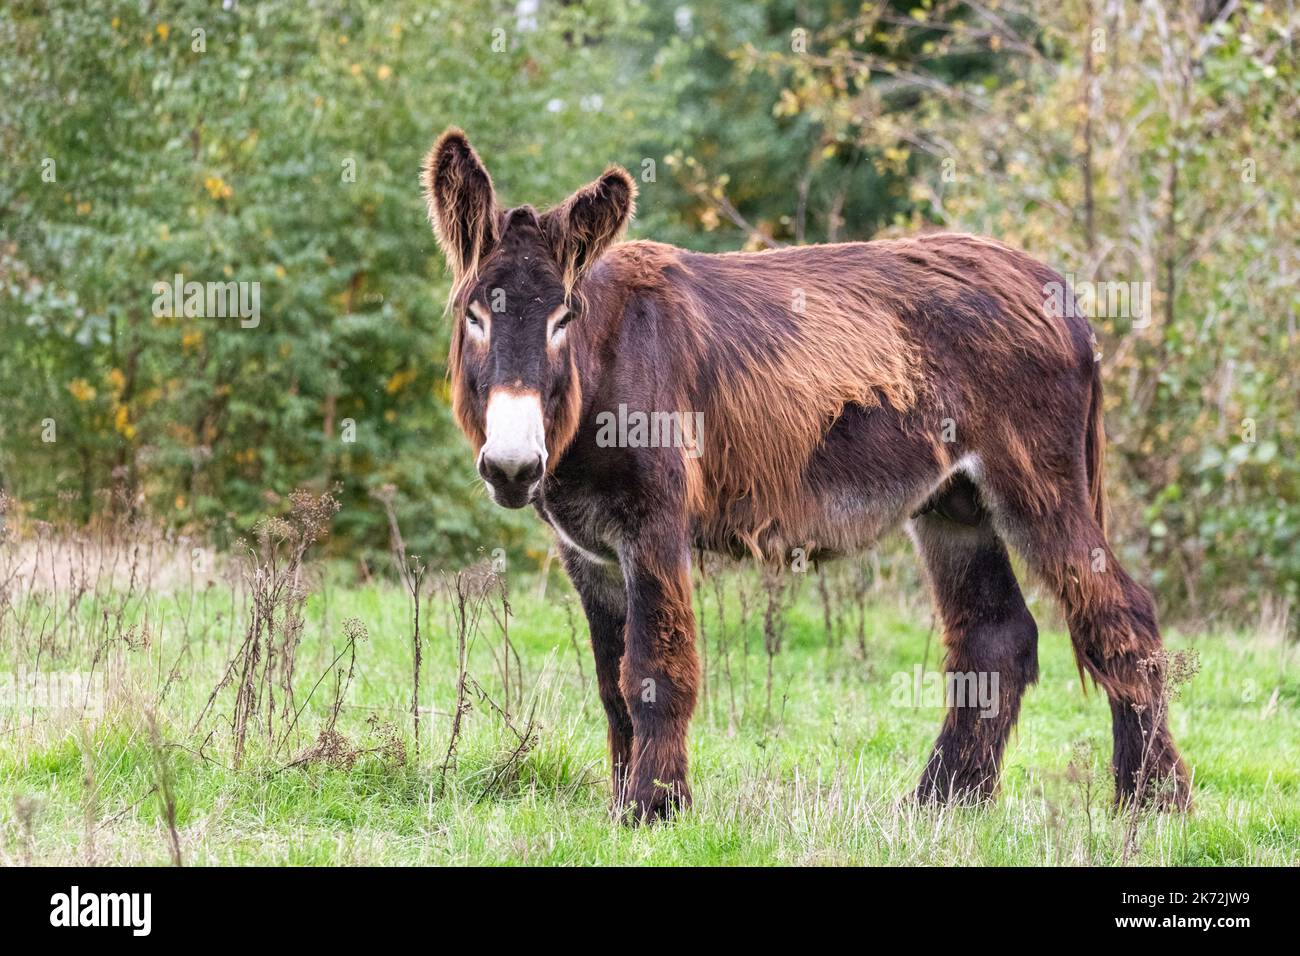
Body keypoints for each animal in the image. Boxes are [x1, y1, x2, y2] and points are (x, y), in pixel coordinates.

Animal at [420, 128, 1190, 822]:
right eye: (474, 315)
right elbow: (613, 686)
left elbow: (655, 671)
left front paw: (653, 809)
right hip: (956, 505)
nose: (513, 467)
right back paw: (946, 802)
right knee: (995, 635)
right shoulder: (590, 550)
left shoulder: (654, 530)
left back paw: (1152, 800)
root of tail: (1057, 289)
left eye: (563, 319)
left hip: (1037, 485)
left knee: (1120, 615)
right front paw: (622, 804)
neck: (603, 358)